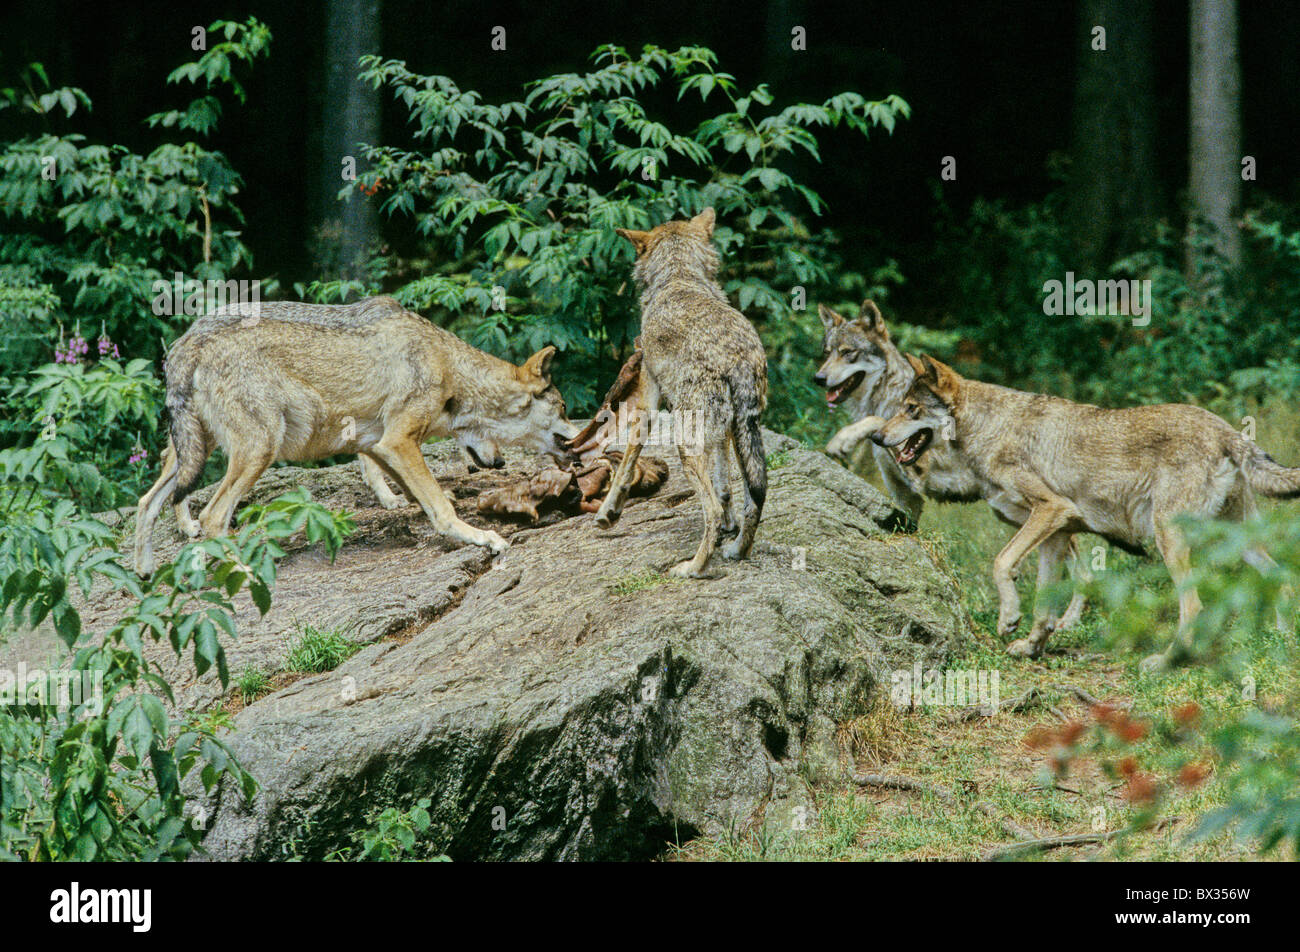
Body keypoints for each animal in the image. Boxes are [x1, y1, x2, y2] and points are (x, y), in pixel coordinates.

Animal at [133, 295, 575, 575]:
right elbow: (440, 509)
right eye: (565, 408)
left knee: (148, 499)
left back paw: (144, 571)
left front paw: (403, 502)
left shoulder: (377, 444)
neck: (447, 364)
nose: (500, 462)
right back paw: (240, 569)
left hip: (202, 448)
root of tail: (188, 341)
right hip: (258, 450)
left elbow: (415, 491)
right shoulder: (397, 441)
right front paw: (481, 537)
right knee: (212, 516)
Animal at [593, 208, 768, 577]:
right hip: (745, 434)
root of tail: (737, 358)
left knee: (710, 511)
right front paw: (731, 525)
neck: (679, 277)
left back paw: (693, 568)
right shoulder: (723, 433)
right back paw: (736, 549)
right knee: (755, 497)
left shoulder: (648, 399)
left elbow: (627, 459)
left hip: (685, 446)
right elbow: (724, 486)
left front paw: (607, 513)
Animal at [814, 300, 1089, 631]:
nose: (818, 378)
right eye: (827, 352)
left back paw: (1066, 621)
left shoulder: (923, 473)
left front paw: (843, 439)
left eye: (848, 352)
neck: (887, 393)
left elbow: (876, 420)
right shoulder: (906, 497)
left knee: (1082, 568)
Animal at [871, 353, 1300, 668]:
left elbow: (1000, 563)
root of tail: (1227, 430)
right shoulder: (1058, 534)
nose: (876, 436)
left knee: (1194, 605)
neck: (989, 429)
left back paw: (1166, 661)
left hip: (1171, 539)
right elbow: (1044, 605)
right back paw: (1280, 641)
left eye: (911, 409)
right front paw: (1032, 646)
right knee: (1279, 577)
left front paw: (1008, 618)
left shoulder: (1050, 511)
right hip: (1234, 538)